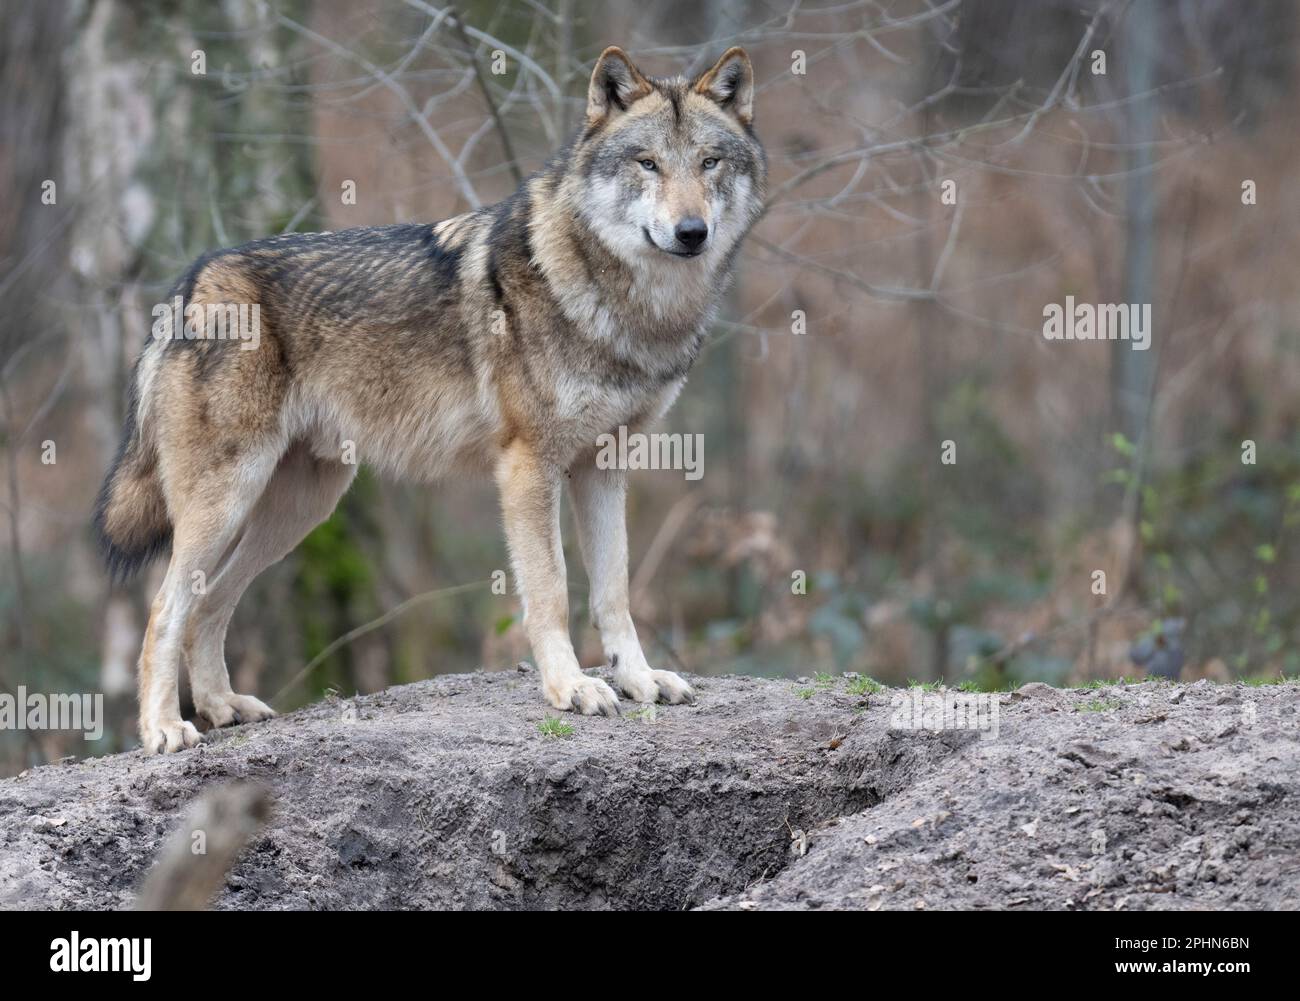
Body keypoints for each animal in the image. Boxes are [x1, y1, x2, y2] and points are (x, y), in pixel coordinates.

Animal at [94, 46, 766, 753]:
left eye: (709, 163)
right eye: (647, 163)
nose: (691, 232)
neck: (627, 307)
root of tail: (191, 282)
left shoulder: (604, 468)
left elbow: (614, 592)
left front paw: (638, 680)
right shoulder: (528, 466)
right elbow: (552, 591)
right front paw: (570, 688)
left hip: (299, 508)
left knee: (210, 604)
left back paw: (224, 707)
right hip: (229, 501)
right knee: (165, 608)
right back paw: (164, 729)